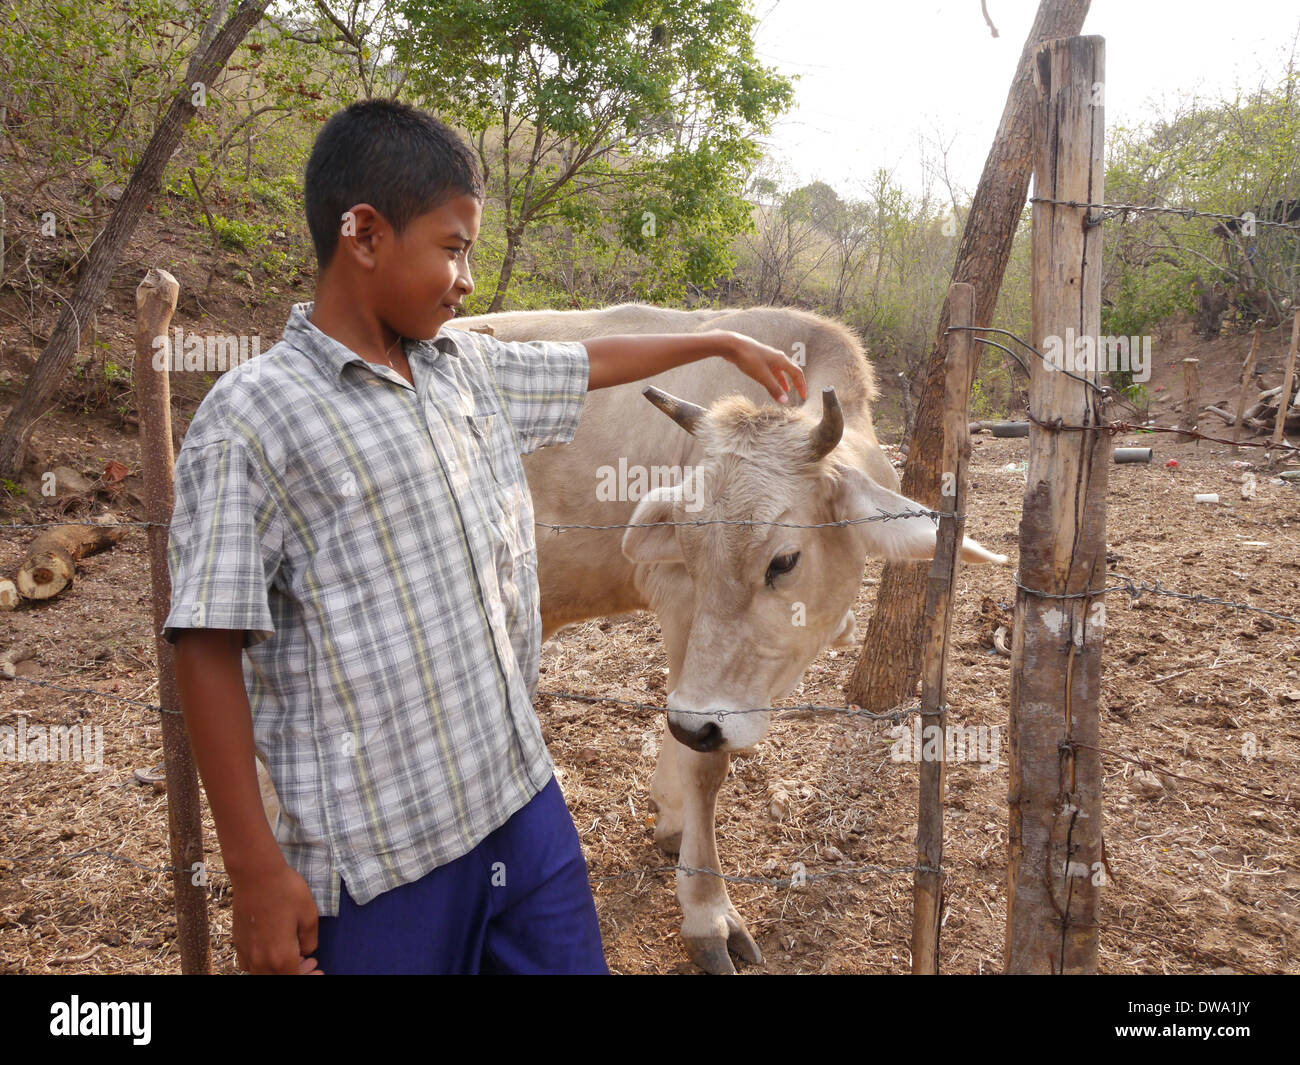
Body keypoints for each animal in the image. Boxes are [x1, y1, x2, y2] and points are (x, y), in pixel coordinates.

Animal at [450, 303, 1007, 974]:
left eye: (784, 561)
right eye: (690, 550)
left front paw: (671, 822)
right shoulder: (681, 607)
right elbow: (703, 761)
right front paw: (707, 911)